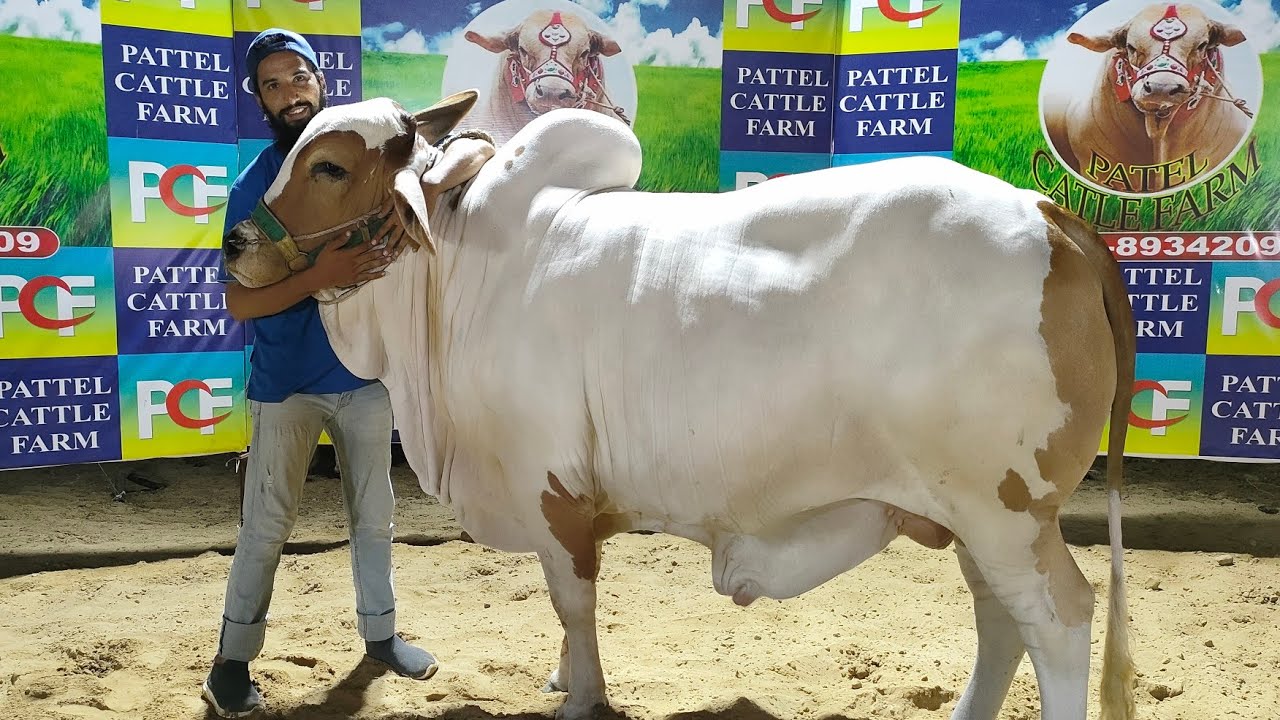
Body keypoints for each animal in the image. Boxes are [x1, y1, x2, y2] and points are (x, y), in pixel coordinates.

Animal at [222, 92, 1139, 720]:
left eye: (330, 166)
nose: (235, 244)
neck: (455, 273)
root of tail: (1053, 215)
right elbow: (566, 616)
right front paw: (561, 676)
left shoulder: (552, 495)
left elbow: (574, 604)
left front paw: (579, 697)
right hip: (971, 514)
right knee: (1000, 620)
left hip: (1005, 509)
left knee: (1058, 619)